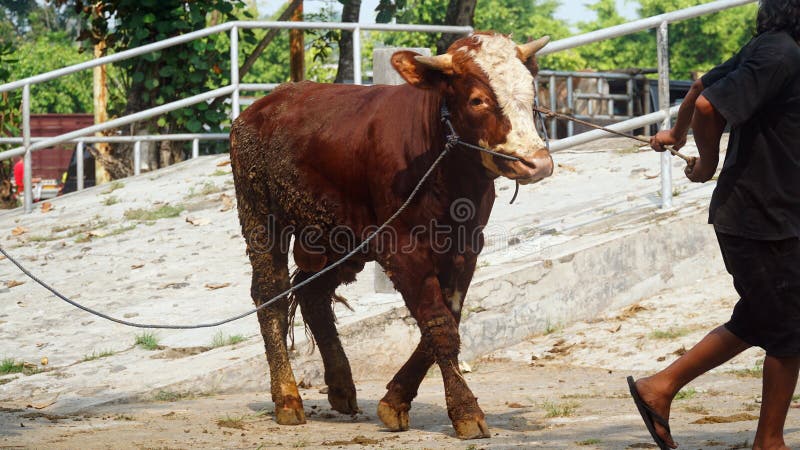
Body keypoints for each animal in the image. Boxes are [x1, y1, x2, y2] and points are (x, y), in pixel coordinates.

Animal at [229, 32, 553, 439]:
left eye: (531, 90)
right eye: (478, 99)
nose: (536, 163)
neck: (443, 166)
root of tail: (258, 108)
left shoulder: (465, 249)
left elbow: (447, 319)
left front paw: (396, 400)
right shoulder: (402, 249)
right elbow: (439, 325)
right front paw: (465, 410)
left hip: (338, 238)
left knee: (312, 292)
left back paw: (341, 385)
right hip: (259, 213)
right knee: (269, 293)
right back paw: (287, 397)